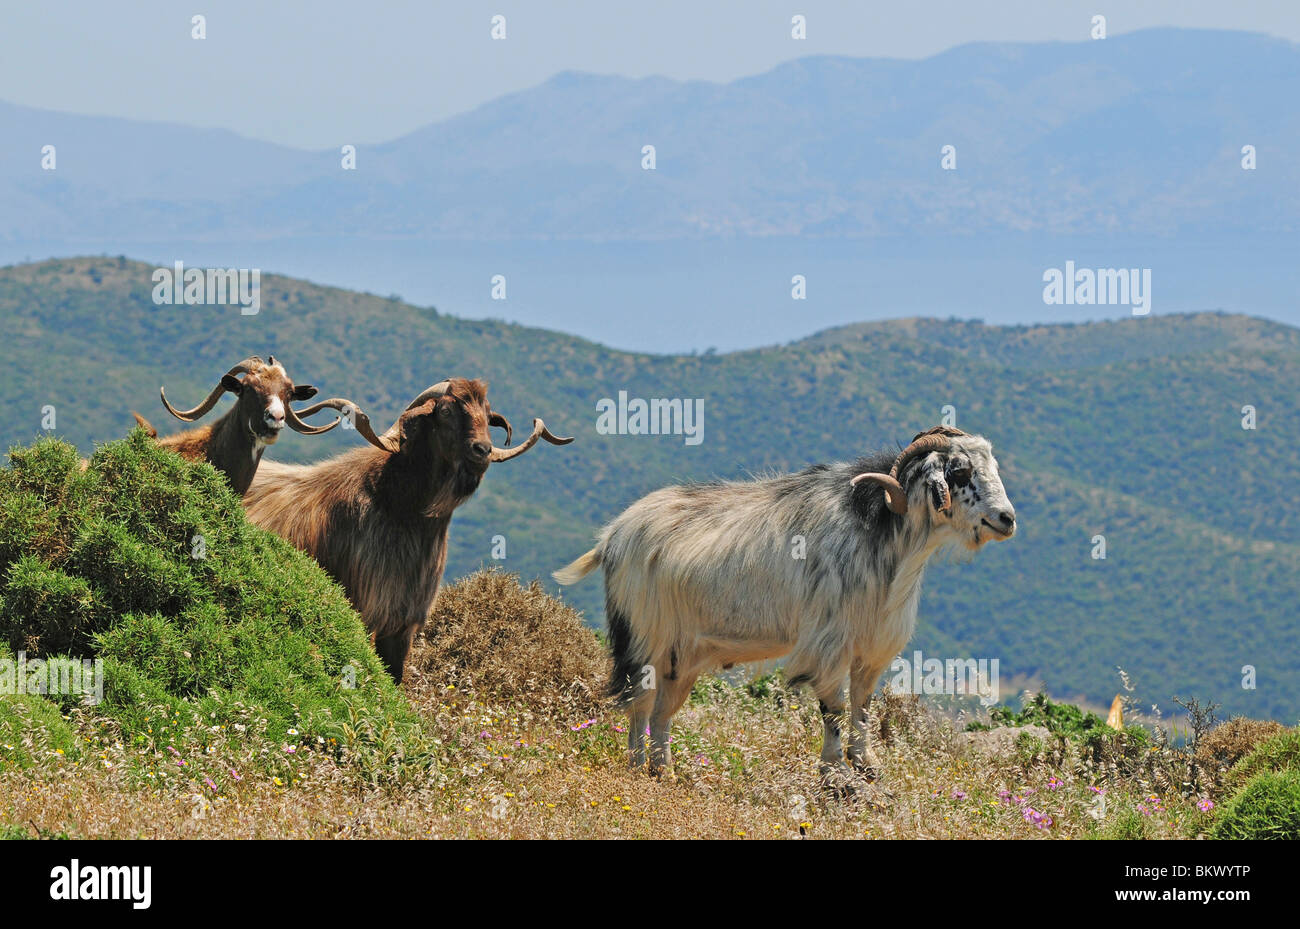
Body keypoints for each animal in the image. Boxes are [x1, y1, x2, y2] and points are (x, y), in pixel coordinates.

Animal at [241, 378, 573, 683]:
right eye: (447, 410)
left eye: (487, 413)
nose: (483, 450)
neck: (399, 507)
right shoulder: (368, 610)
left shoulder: (403, 626)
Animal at [553, 426, 1016, 787]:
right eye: (960, 471)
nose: (1007, 519)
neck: (878, 531)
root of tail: (613, 535)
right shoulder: (829, 643)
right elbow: (834, 709)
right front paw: (833, 771)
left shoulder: (871, 648)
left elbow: (863, 706)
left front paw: (866, 766)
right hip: (644, 634)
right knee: (640, 701)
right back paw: (637, 767)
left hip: (682, 654)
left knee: (664, 709)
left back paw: (663, 770)